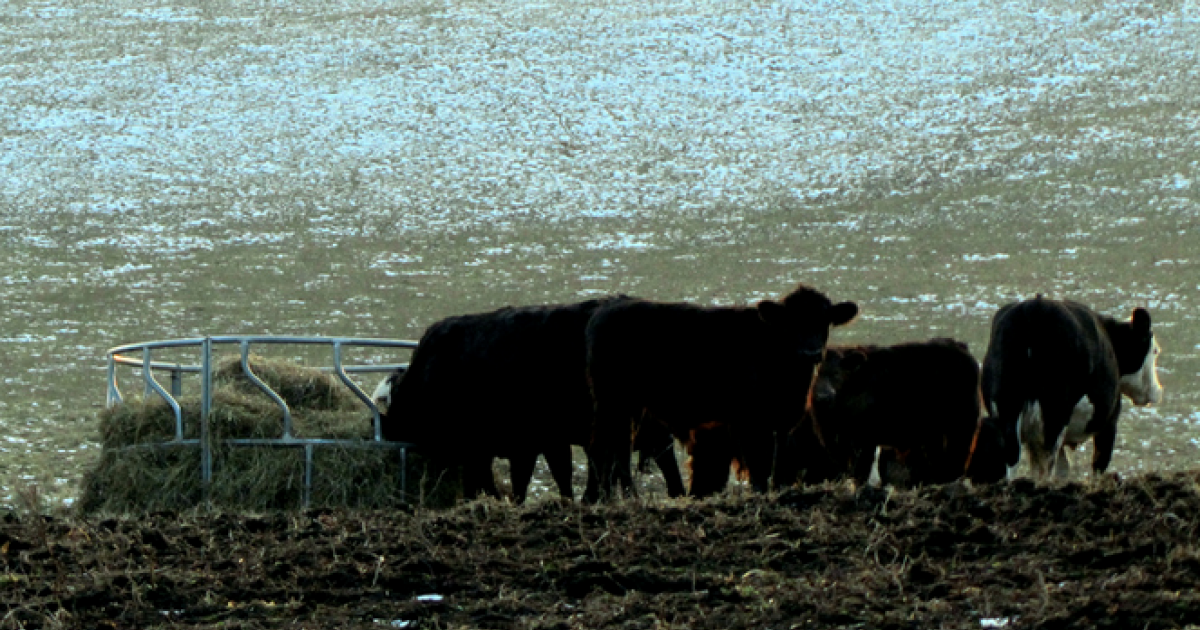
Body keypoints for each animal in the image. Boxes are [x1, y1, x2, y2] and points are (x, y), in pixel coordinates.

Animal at [584, 283, 858, 501]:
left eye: (824, 321)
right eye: (790, 323)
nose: (810, 352)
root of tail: (608, 307)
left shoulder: (782, 421)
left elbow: (778, 461)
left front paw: (779, 491)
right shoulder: (749, 421)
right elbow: (759, 463)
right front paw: (759, 494)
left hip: (627, 405)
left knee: (618, 447)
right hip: (610, 399)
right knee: (602, 447)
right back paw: (600, 498)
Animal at [780, 339, 1007, 488]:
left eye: (837, 373)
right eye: (816, 371)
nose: (822, 395)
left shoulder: (864, 438)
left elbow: (861, 468)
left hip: (962, 425)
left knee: (959, 456)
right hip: (934, 434)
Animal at [980, 296, 1163, 481]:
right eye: (1155, 350)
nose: (1158, 391)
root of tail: (1034, 306)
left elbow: (1062, 469)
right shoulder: (1109, 420)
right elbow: (1098, 465)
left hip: (1007, 409)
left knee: (1014, 460)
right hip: (1054, 412)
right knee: (1047, 460)